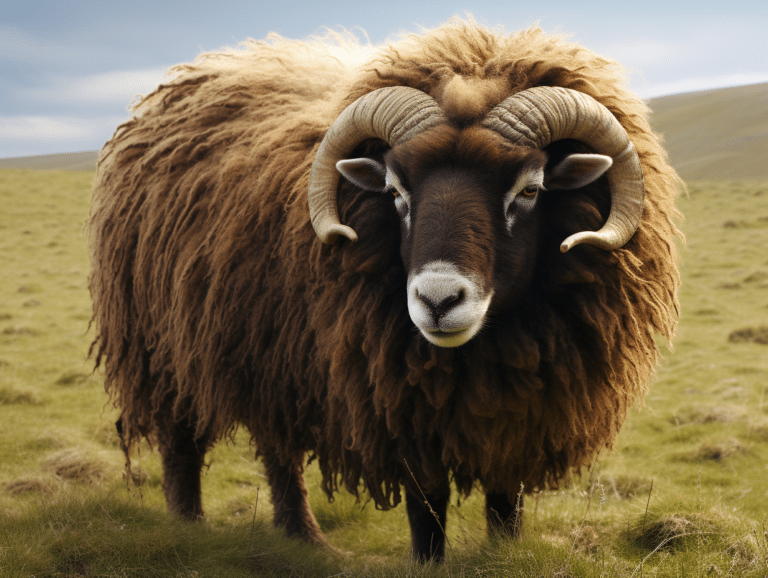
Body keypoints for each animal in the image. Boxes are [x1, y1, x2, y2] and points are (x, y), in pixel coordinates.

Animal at [87, 19, 681, 561]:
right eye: (395, 191)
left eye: (531, 190)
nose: (438, 301)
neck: (482, 355)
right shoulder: (400, 405)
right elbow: (427, 508)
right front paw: (428, 562)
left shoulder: (521, 413)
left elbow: (504, 503)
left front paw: (505, 555)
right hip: (162, 346)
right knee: (180, 444)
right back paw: (189, 527)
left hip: (270, 358)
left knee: (278, 450)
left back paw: (303, 538)